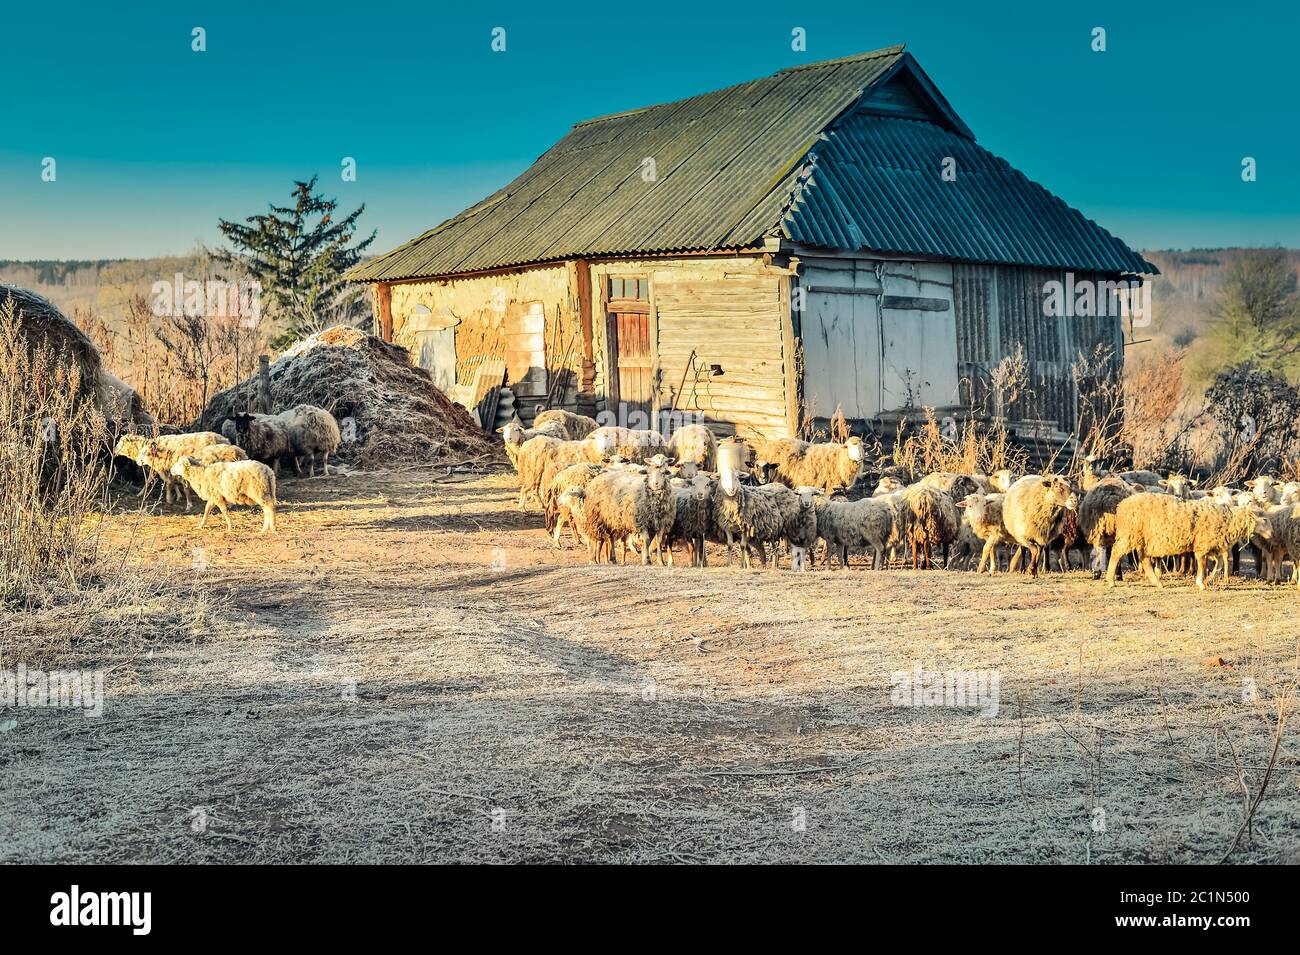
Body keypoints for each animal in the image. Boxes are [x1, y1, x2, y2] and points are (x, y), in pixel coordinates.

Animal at [1105, 494, 1270, 589]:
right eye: (1264, 519)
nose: (1271, 534)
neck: (1228, 520)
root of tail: (1121, 505)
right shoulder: (1203, 545)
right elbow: (1203, 564)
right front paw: (1201, 583)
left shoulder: (1211, 545)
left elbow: (1219, 563)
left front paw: (1208, 579)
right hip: (1129, 534)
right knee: (1116, 553)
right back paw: (1110, 580)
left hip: (1143, 538)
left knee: (1144, 559)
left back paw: (1157, 582)